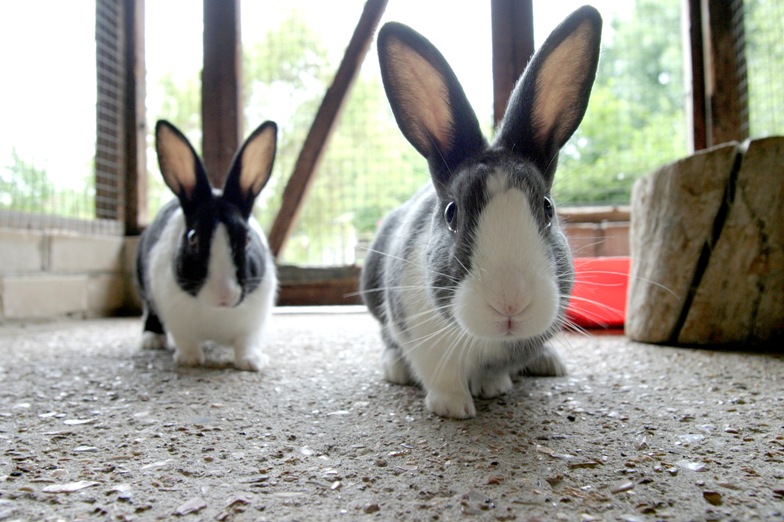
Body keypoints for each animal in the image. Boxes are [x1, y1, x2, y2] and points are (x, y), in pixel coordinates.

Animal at [136, 120, 280, 370]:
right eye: (193, 237)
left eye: (247, 238)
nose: (223, 294)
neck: (217, 312)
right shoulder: (175, 316)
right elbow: (185, 339)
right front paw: (189, 359)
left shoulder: (254, 322)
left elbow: (247, 342)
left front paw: (252, 362)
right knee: (151, 313)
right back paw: (152, 340)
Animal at [358, 6, 604, 416]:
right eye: (451, 213)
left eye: (547, 208)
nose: (510, 302)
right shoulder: (419, 334)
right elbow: (440, 375)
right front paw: (453, 408)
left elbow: (496, 371)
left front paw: (493, 387)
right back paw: (396, 368)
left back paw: (548, 363)